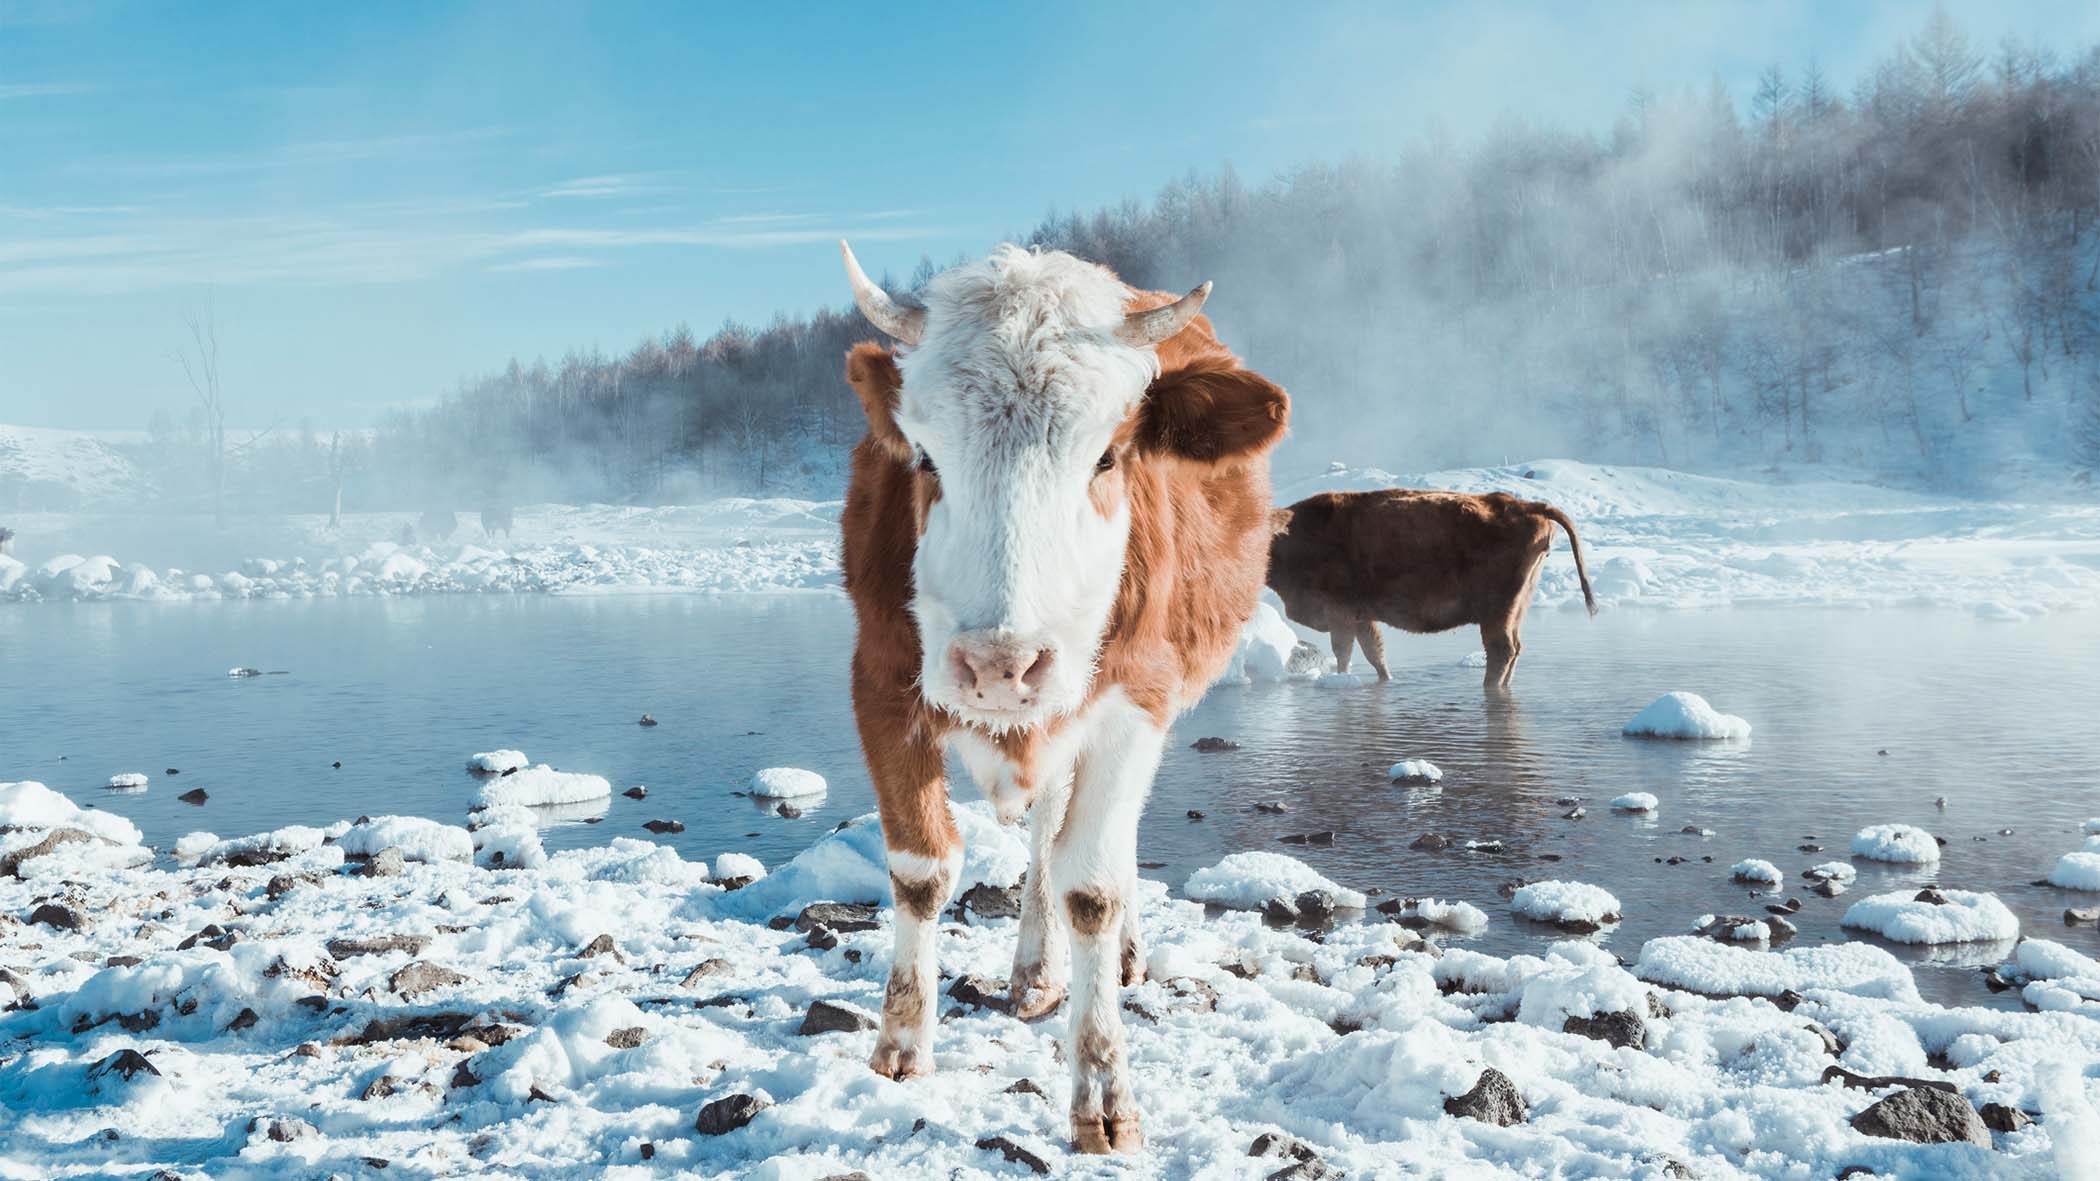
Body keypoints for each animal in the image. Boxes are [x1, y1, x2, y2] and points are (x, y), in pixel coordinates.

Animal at [837, 241, 1287, 1154]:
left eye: (1108, 456)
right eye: (926, 458)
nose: (999, 666)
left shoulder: (1136, 701)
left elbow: (1093, 887)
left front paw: (1103, 1087)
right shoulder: (882, 680)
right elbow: (921, 867)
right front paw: (901, 1043)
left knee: (1084, 844)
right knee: (1044, 829)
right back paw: (1036, 969)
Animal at [1267, 488, 1596, 689]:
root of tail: (1530, 507)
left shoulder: (1340, 612)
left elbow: (1344, 652)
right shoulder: (1362, 616)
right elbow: (1374, 652)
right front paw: (1386, 680)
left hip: (1497, 611)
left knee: (1500, 649)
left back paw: (1489, 687)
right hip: (1517, 607)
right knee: (1514, 648)